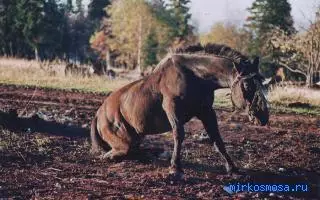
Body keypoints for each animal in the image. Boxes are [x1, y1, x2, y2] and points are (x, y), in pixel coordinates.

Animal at [90, 43, 270, 178]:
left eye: (262, 82)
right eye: (247, 85)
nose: (263, 116)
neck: (195, 75)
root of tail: (98, 114)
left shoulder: (206, 111)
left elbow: (217, 139)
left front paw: (233, 168)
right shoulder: (172, 107)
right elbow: (179, 134)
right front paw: (175, 167)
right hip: (123, 143)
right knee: (115, 153)